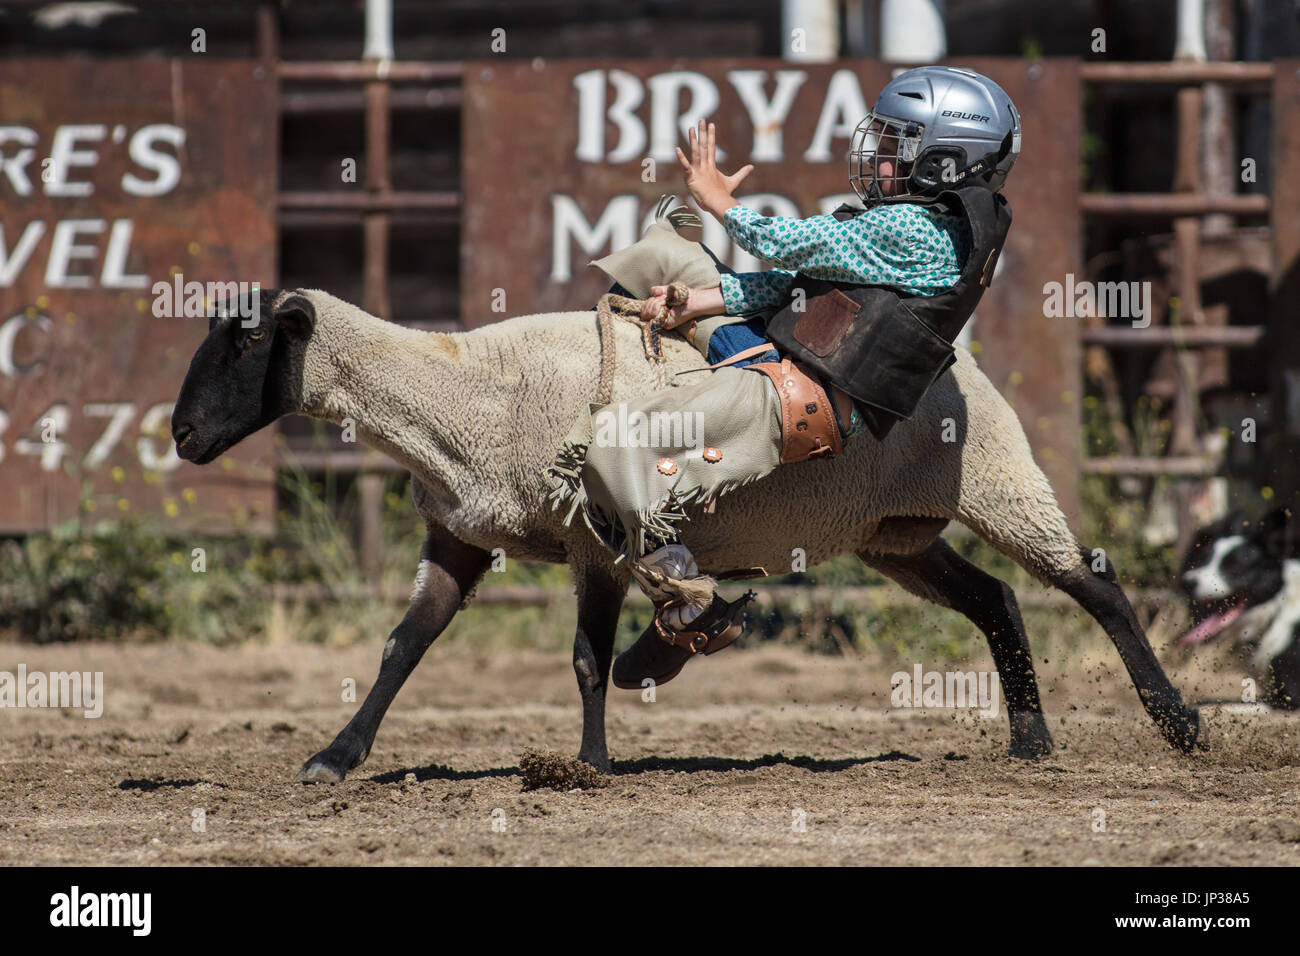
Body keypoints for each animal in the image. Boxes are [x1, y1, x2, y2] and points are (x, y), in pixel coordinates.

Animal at [171, 287, 1202, 781]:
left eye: (245, 341)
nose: (180, 435)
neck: (457, 392)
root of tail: (965, 364)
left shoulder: (595, 542)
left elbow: (584, 660)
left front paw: (589, 765)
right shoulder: (459, 536)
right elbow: (401, 647)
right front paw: (335, 757)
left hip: (999, 480)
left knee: (1094, 581)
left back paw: (1177, 719)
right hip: (896, 537)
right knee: (996, 598)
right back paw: (1030, 738)